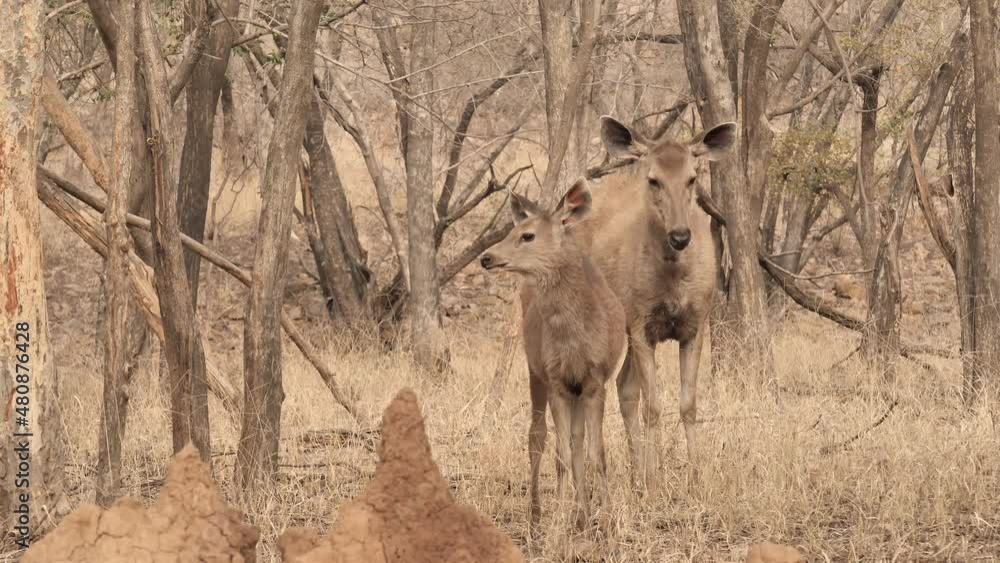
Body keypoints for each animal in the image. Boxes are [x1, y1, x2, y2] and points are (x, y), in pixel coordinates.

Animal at [479, 179, 627, 536]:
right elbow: (560, 454)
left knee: (576, 440)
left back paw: (582, 516)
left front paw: (606, 525)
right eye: (513, 229)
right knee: (537, 436)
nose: (486, 257)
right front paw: (559, 523)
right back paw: (536, 518)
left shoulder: (594, 381)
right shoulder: (557, 380)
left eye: (528, 235)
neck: (575, 338)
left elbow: (596, 452)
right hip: (535, 370)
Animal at [582, 116, 737, 492]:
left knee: (622, 387)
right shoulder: (641, 324)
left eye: (692, 177)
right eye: (653, 179)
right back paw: (597, 474)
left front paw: (694, 478)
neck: (672, 277)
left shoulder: (694, 326)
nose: (680, 235)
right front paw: (655, 483)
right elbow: (653, 407)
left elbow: (688, 403)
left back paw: (633, 473)